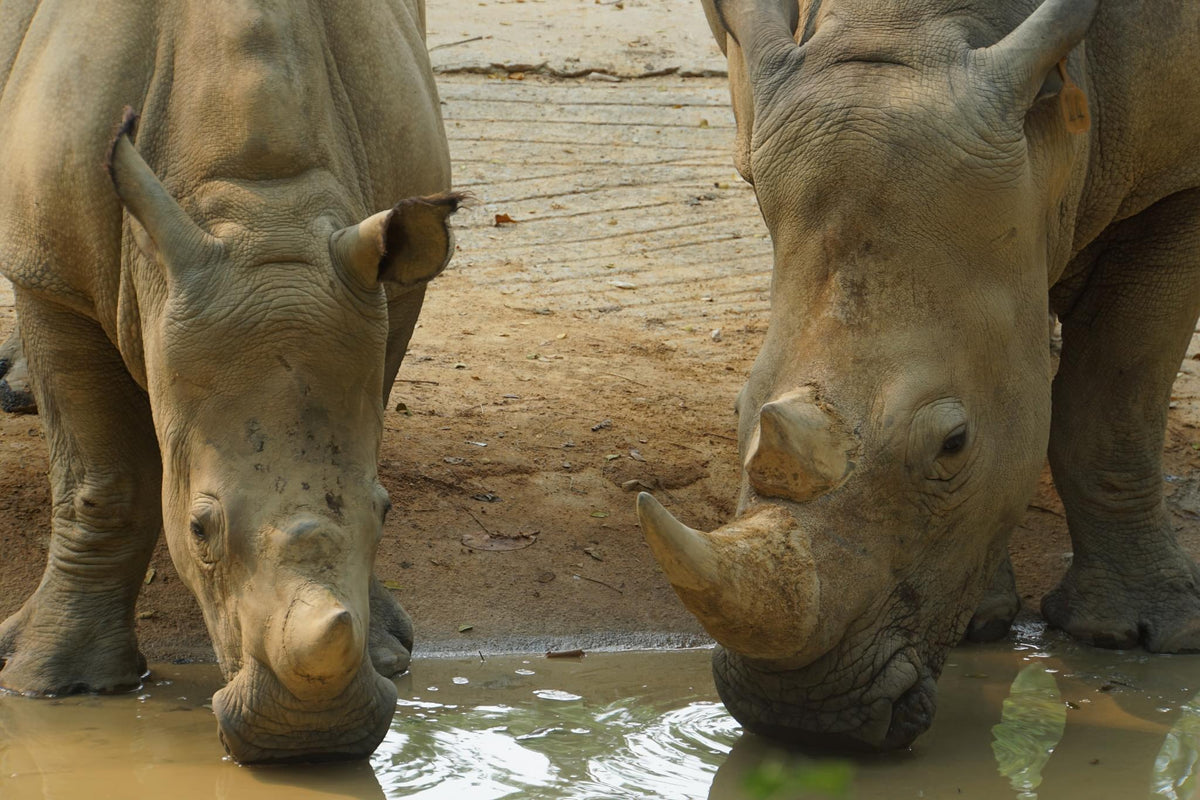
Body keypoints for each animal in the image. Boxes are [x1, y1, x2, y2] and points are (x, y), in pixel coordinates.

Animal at [0, 0, 459, 762]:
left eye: (388, 511)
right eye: (199, 530)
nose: (311, 735)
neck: (260, 207)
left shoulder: (387, 276)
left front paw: (387, 652)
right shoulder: (50, 274)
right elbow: (104, 484)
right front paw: (52, 684)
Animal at [639, 0, 1200, 750]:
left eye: (953, 444)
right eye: (738, 411)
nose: (801, 717)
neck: (910, 32)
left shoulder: (1179, 183)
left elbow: (1113, 402)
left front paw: (1135, 637)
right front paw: (979, 621)